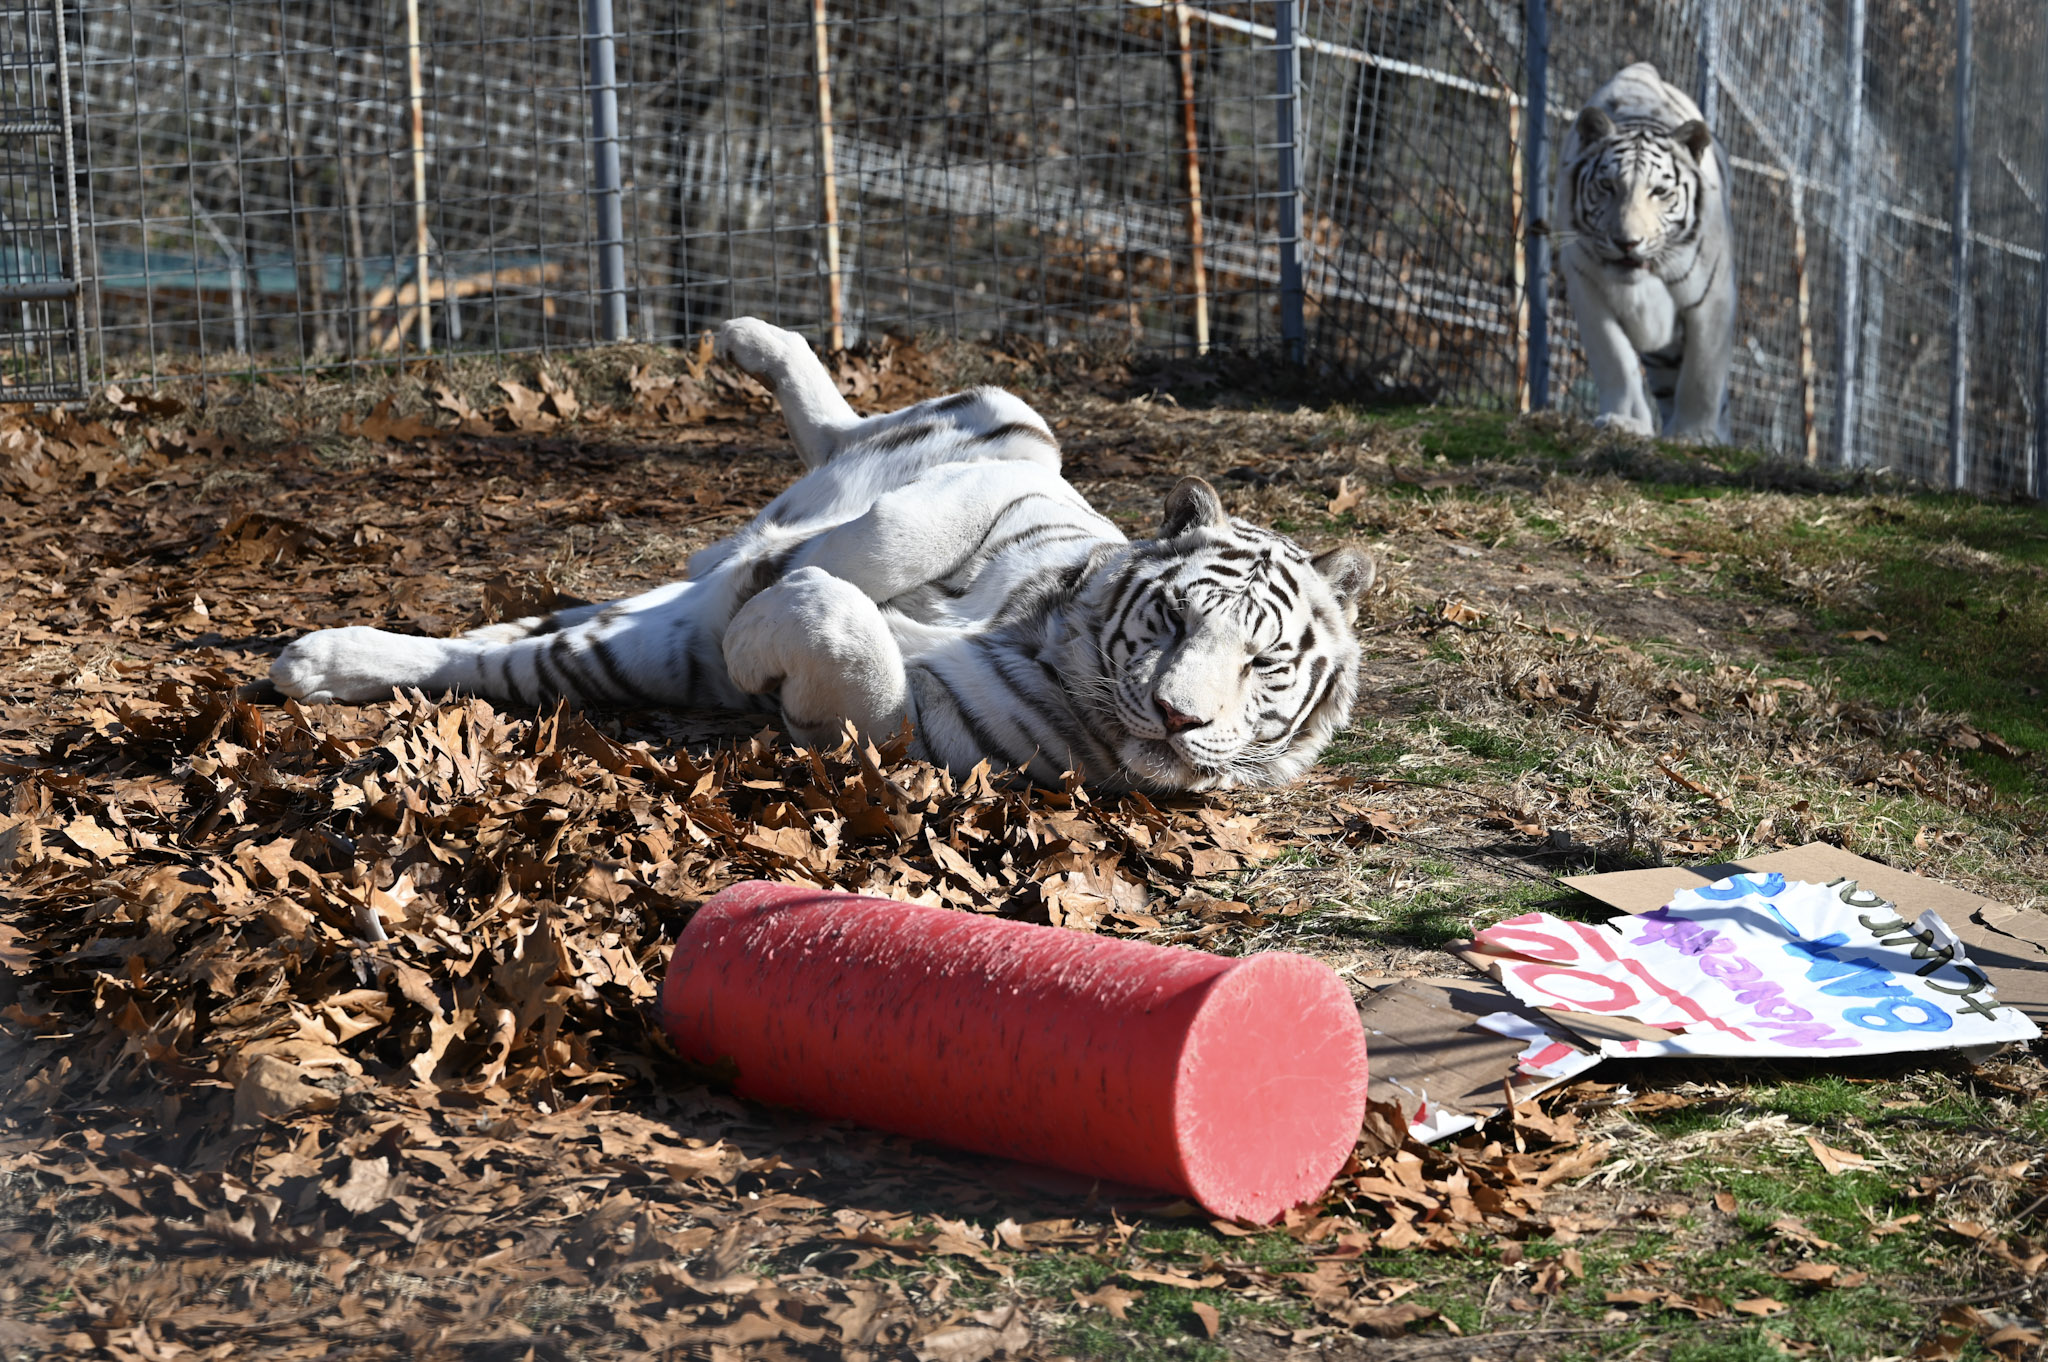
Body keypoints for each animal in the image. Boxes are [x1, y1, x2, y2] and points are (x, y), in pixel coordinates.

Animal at [270, 318, 1376, 793]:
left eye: (1263, 664)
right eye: (1175, 618)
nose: (1178, 715)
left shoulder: (906, 734)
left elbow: (853, 647)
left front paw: (775, 608)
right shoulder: (1014, 489)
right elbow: (894, 531)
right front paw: (791, 565)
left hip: (626, 657)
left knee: (491, 657)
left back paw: (313, 662)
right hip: (1011, 412)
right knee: (841, 432)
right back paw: (744, 349)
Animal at [1558, 61, 1737, 443]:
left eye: (1659, 191)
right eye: (1607, 186)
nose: (1627, 242)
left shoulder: (1712, 298)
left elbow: (1702, 374)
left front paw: (1694, 435)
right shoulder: (1586, 287)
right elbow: (1615, 359)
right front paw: (1626, 422)